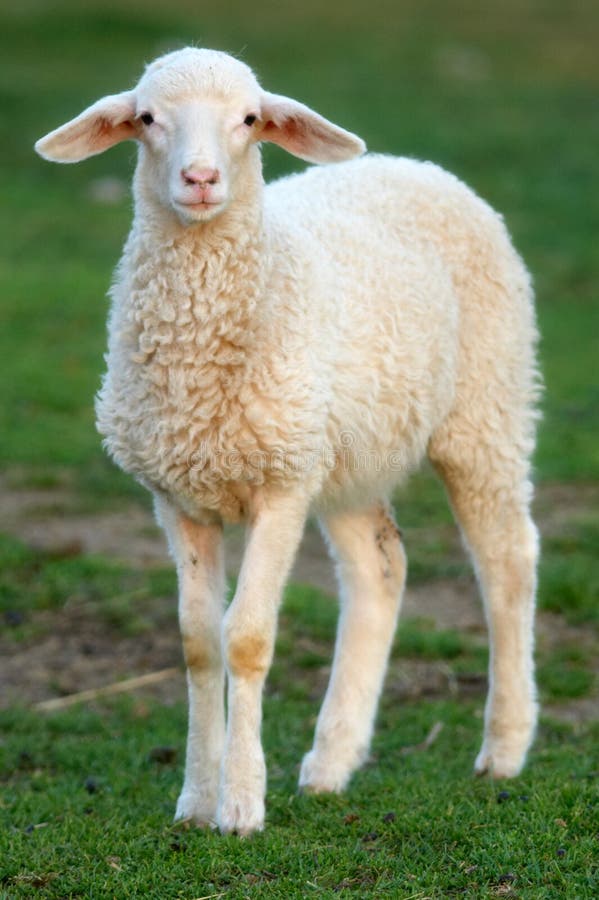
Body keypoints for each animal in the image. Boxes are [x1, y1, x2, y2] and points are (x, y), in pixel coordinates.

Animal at [35, 47, 541, 836]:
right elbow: (197, 642)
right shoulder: (177, 495)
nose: (201, 179)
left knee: (508, 560)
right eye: (147, 118)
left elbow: (245, 638)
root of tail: (416, 164)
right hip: (343, 450)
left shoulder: (280, 485)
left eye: (249, 119)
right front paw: (195, 799)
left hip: (485, 406)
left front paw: (241, 804)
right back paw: (331, 761)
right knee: (380, 570)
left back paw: (504, 748)